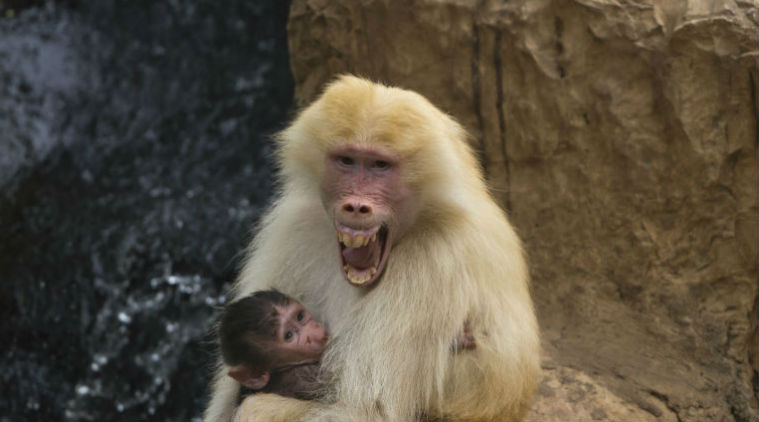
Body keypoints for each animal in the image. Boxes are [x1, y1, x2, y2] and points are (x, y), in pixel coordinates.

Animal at [205, 75, 540, 421]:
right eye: (347, 161)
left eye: (380, 165)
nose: (355, 206)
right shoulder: (297, 225)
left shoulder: (436, 255)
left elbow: (367, 411)